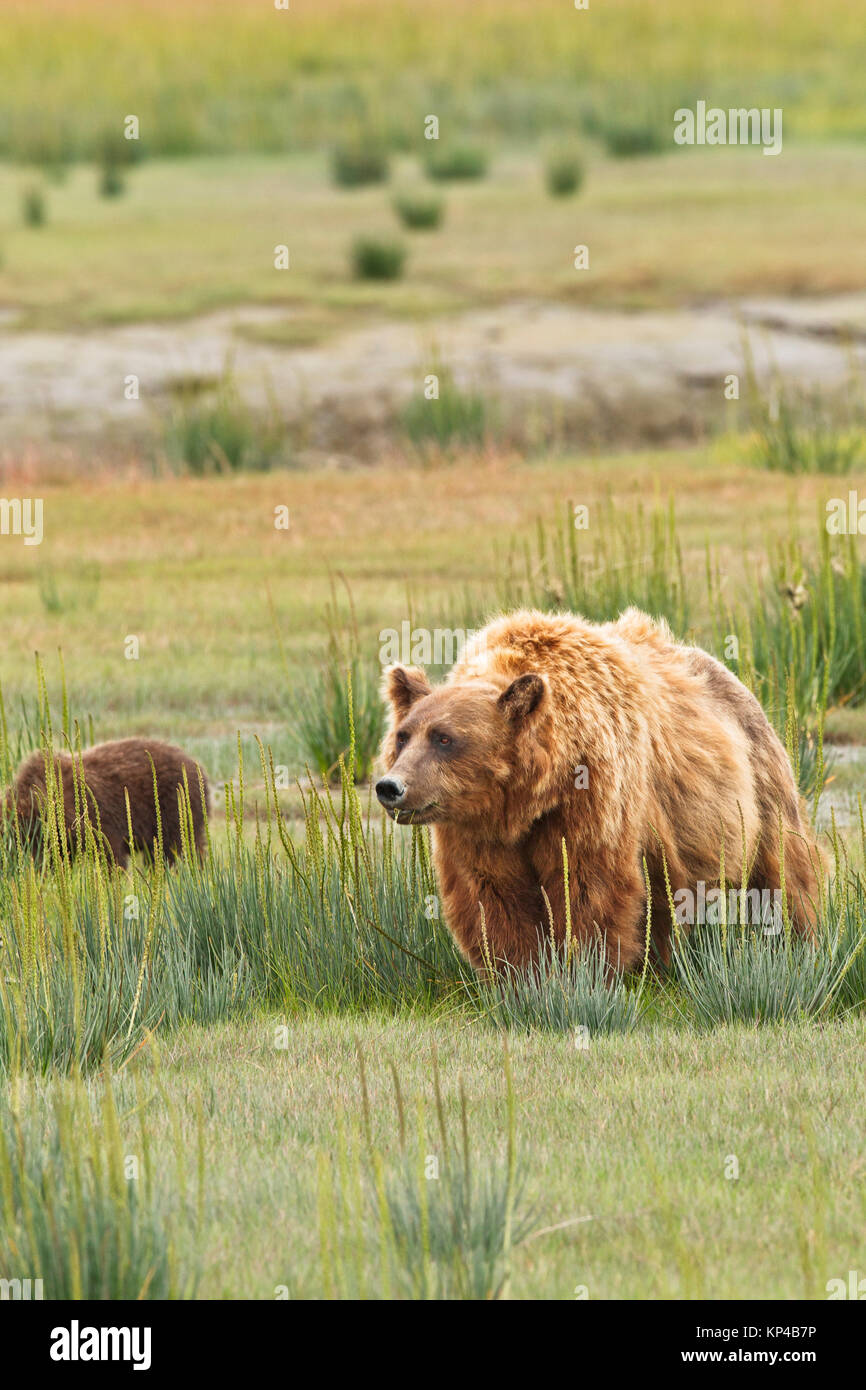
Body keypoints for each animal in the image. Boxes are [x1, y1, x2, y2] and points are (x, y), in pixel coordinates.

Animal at [376, 608, 823, 973]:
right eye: (403, 735)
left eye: (445, 738)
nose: (390, 787)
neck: (531, 797)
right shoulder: (476, 827)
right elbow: (495, 896)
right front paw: (520, 975)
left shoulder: (593, 795)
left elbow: (589, 885)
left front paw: (585, 971)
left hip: (757, 784)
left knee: (783, 867)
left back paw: (799, 943)